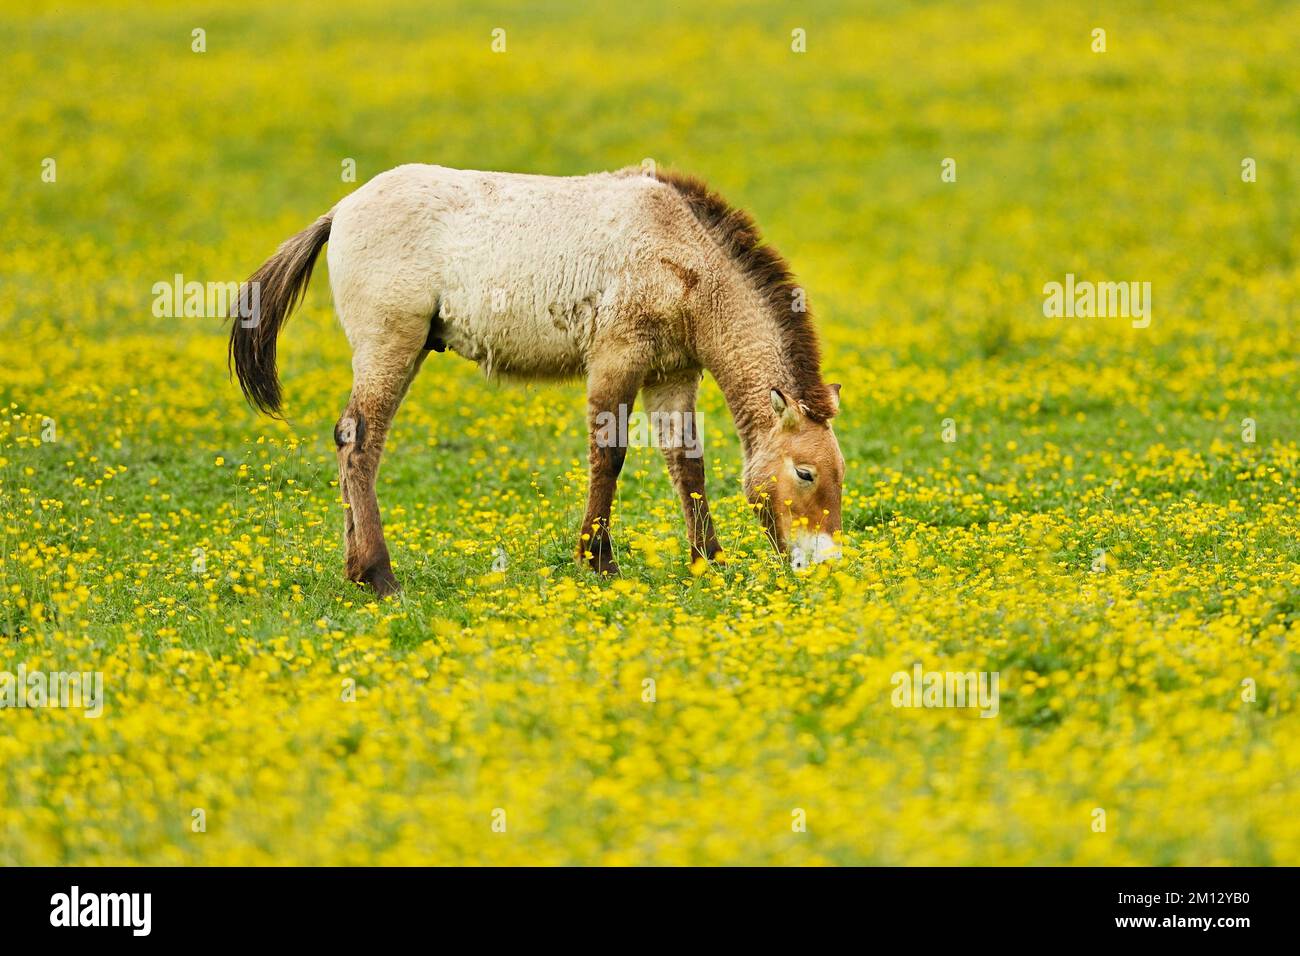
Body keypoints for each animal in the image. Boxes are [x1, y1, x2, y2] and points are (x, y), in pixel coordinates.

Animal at [229, 164, 845, 596]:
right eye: (806, 473)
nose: (825, 564)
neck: (681, 250)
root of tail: (340, 210)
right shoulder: (616, 359)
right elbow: (609, 455)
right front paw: (600, 561)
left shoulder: (673, 375)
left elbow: (686, 463)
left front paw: (707, 562)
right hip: (390, 344)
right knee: (358, 439)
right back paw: (380, 575)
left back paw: (356, 570)